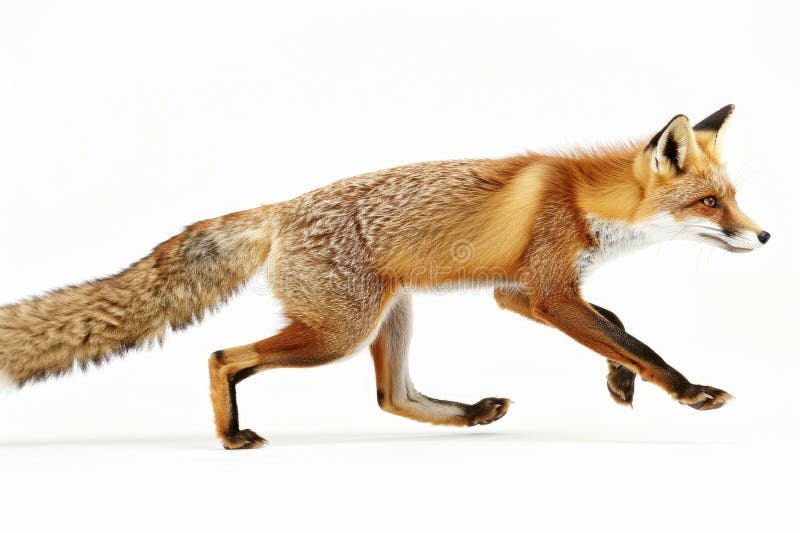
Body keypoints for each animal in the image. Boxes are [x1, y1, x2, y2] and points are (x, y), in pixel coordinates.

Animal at [0, 105, 769, 449]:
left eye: (731, 197)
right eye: (711, 203)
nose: (764, 235)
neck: (586, 198)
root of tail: (279, 211)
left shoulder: (518, 291)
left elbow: (616, 325)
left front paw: (620, 380)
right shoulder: (550, 288)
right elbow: (636, 340)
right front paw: (686, 391)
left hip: (390, 316)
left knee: (391, 397)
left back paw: (469, 414)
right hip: (337, 332)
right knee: (222, 355)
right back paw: (231, 434)